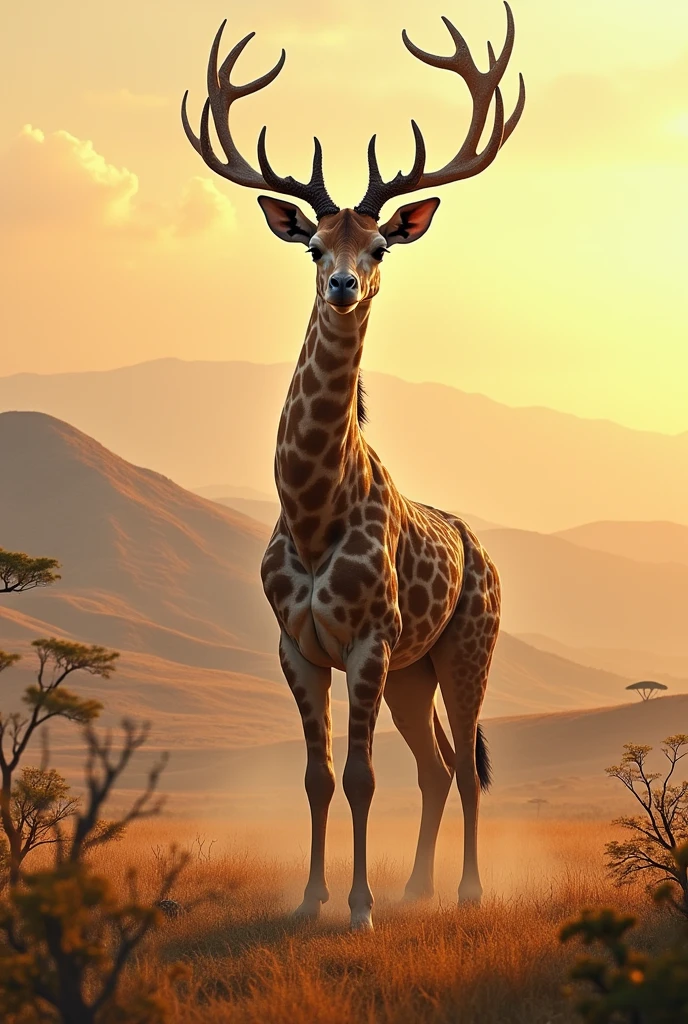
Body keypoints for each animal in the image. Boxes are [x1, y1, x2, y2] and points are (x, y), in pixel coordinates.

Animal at [183, 3, 524, 931]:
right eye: (312, 247)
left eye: (380, 247)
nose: (342, 285)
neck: (310, 510)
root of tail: (485, 553)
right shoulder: (296, 644)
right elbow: (317, 777)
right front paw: (311, 902)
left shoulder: (370, 637)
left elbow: (365, 779)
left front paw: (360, 908)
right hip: (415, 671)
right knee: (437, 766)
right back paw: (418, 888)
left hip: (466, 651)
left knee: (468, 766)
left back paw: (468, 892)